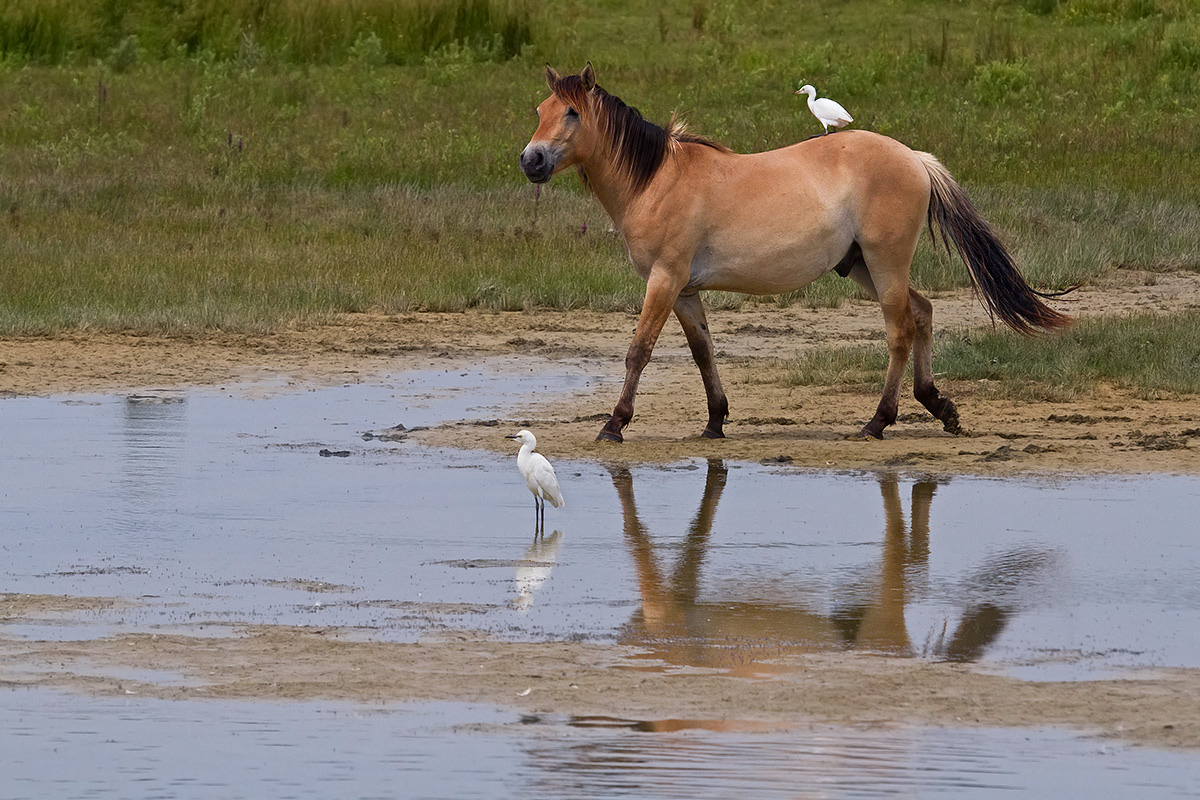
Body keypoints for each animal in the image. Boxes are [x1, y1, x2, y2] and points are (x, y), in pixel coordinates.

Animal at [520, 63, 1071, 443]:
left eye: (572, 113)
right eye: (540, 112)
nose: (531, 160)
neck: (657, 180)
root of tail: (913, 158)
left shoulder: (665, 279)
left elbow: (639, 351)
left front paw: (614, 424)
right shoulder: (685, 291)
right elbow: (703, 351)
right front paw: (715, 420)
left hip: (885, 262)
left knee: (900, 331)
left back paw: (878, 421)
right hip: (862, 266)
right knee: (924, 312)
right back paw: (939, 407)